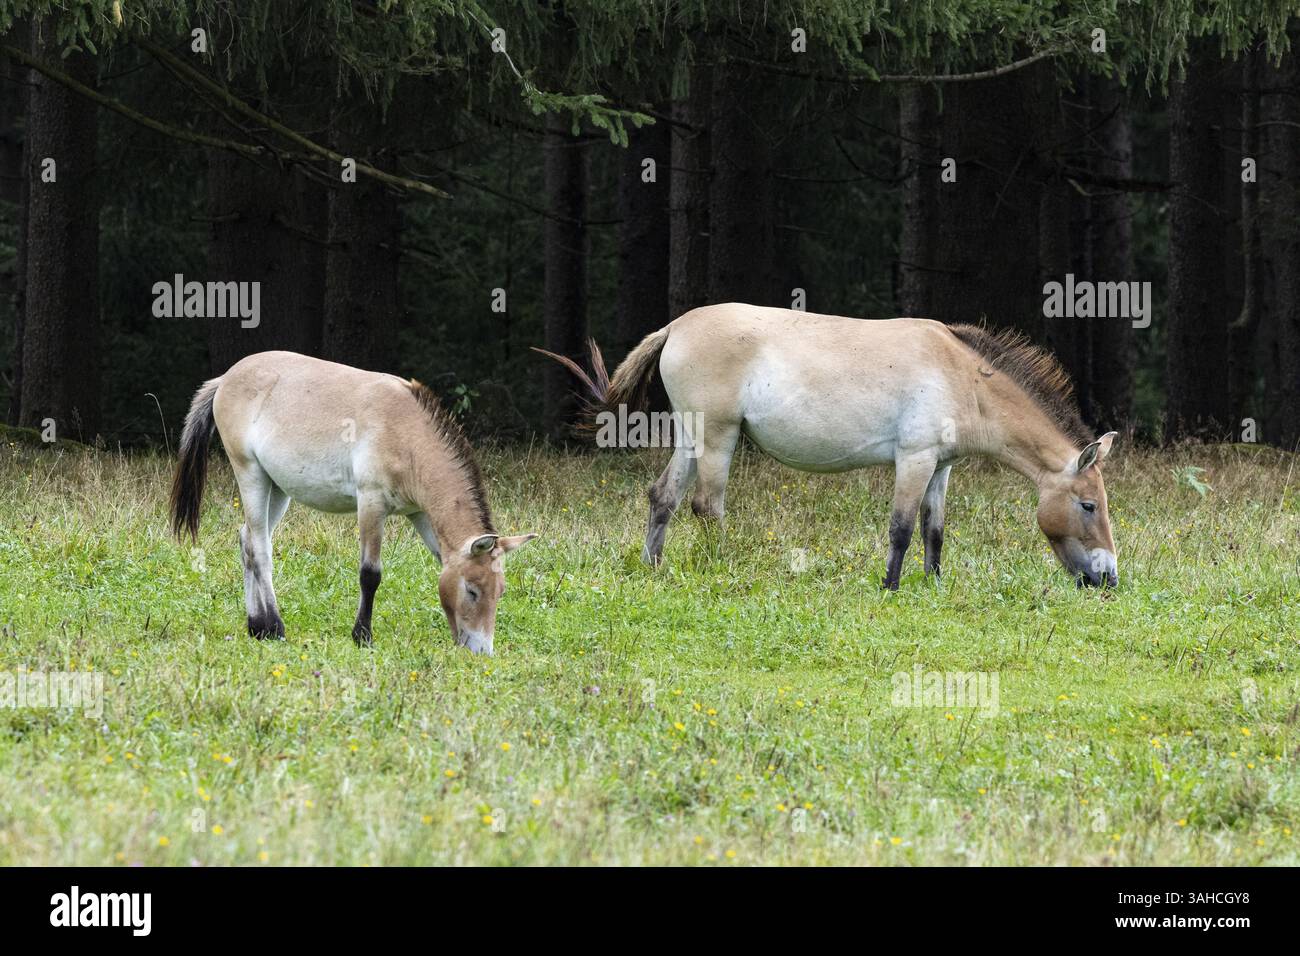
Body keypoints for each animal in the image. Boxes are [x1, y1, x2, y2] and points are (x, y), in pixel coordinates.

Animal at [169, 352, 537, 654]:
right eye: (472, 591)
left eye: (500, 591)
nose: (481, 651)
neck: (407, 435)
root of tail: (225, 379)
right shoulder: (371, 504)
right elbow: (370, 574)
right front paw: (363, 636)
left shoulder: (419, 514)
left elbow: (439, 560)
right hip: (251, 475)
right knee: (260, 549)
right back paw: (275, 627)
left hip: (278, 489)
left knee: (247, 540)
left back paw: (257, 627)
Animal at [536, 303, 1118, 589]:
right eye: (1089, 505)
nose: (1108, 579)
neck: (962, 375)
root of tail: (675, 328)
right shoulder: (914, 459)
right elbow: (901, 527)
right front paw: (890, 586)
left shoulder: (940, 466)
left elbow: (933, 528)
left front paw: (933, 584)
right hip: (718, 437)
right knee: (707, 506)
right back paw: (721, 565)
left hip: (691, 436)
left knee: (665, 498)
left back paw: (653, 568)